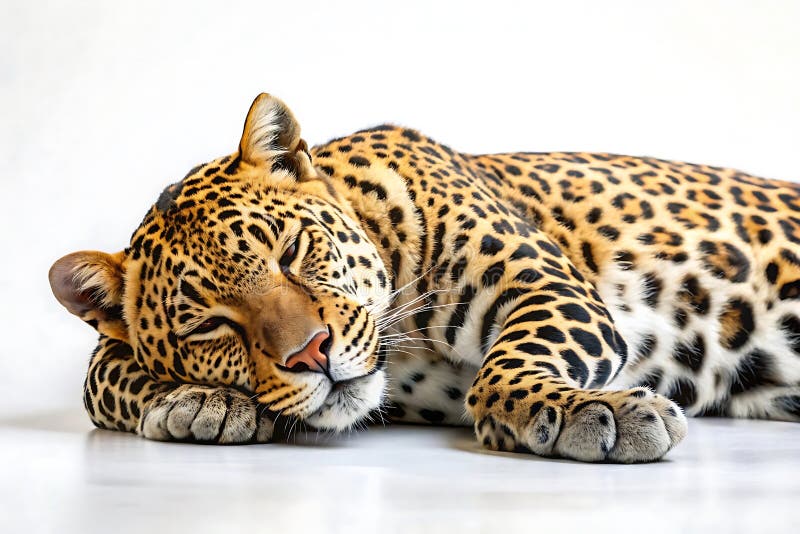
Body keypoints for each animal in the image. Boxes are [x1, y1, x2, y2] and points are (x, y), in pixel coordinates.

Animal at [49, 93, 800, 463]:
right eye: (210, 325)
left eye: (291, 251)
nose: (311, 354)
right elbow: (104, 374)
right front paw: (199, 401)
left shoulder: (543, 282)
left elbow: (513, 361)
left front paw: (588, 412)